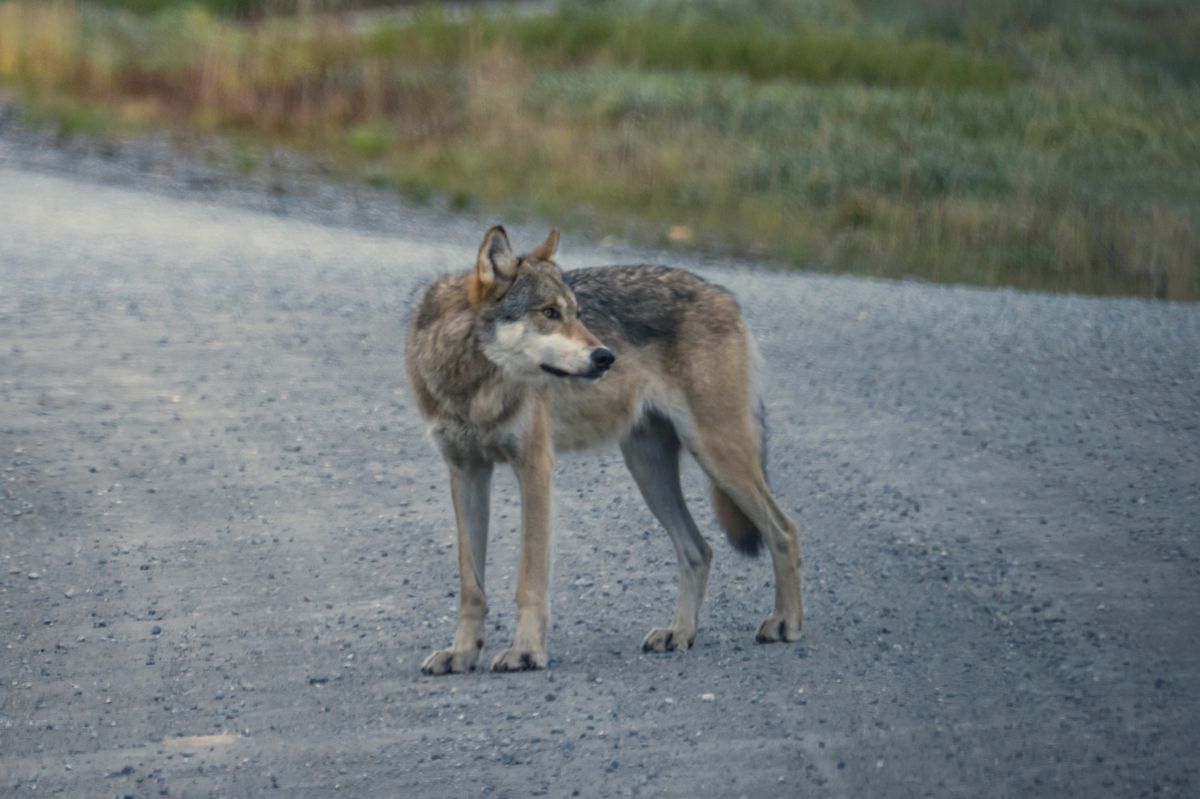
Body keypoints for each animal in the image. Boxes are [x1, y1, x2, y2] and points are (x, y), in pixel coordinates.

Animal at [405, 226, 803, 674]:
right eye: (549, 313)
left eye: (576, 313)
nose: (606, 356)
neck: (472, 385)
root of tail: (725, 295)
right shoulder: (466, 473)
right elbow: (471, 585)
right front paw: (461, 654)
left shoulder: (535, 468)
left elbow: (530, 580)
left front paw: (525, 652)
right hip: (649, 471)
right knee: (699, 550)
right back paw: (680, 633)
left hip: (717, 455)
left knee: (784, 530)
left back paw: (785, 622)